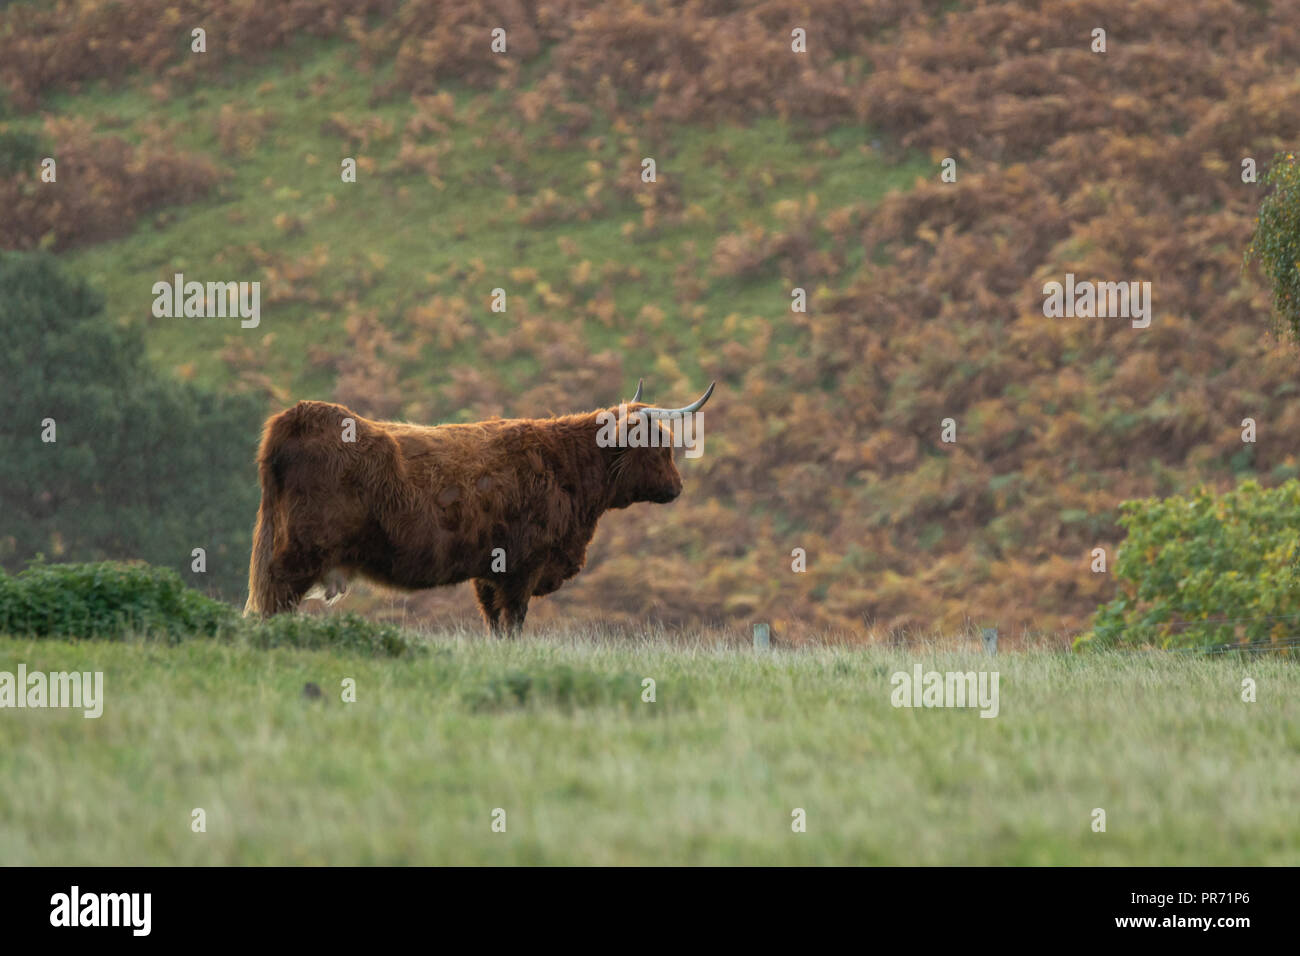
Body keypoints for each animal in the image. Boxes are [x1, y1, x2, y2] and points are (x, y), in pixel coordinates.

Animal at [244, 381, 714, 635]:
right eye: (659, 444)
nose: (677, 488)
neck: (564, 466)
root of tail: (298, 417)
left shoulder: (489, 574)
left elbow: (495, 627)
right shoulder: (522, 568)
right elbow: (513, 623)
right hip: (296, 557)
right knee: (272, 605)